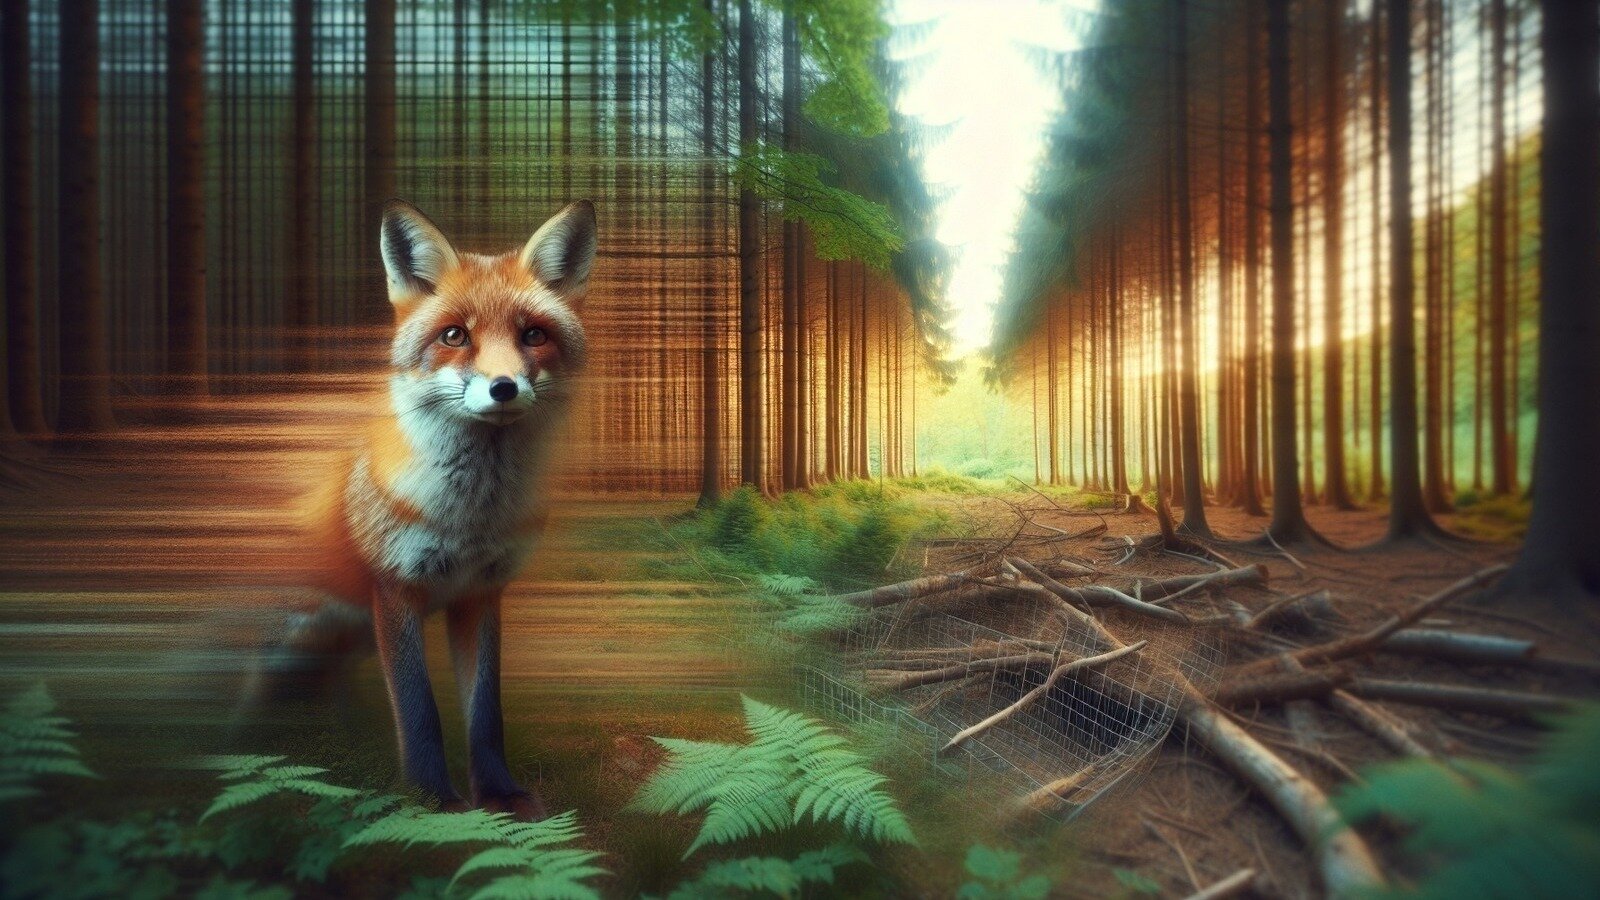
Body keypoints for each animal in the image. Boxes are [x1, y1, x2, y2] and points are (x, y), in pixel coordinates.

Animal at [243, 198, 597, 822]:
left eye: (533, 335)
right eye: (454, 335)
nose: (503, 388)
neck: (471, 519)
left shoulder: (481, 592)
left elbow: (485, 713)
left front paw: (498, 795)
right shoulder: (396, 590)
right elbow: (418, 709)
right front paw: (432, 800)